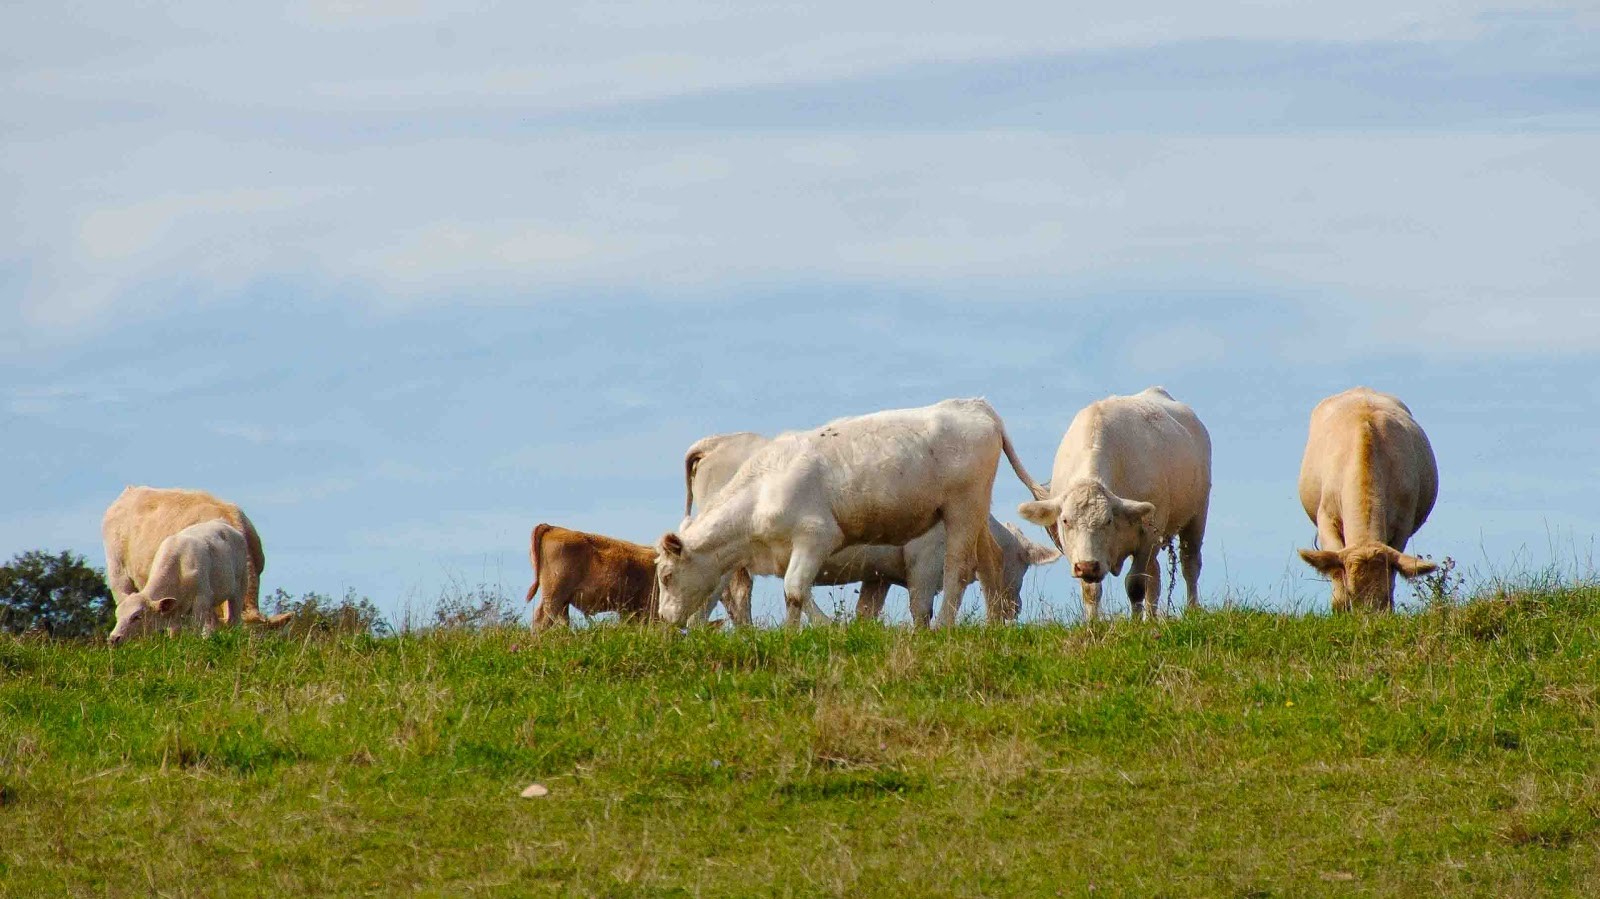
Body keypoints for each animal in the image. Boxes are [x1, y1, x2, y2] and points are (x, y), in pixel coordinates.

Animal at [107, 520, 247, 644]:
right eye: (117, 615)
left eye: (137, 616)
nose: (113, 639)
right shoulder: (174, 611)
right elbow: (174, 634)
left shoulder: (201, 600)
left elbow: (196, 629)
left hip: (240, 587)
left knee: (234, 620)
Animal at [656, 398, 1048, 628]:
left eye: (666, 576)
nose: (663, 617)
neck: (761, 490)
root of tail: (973, 404)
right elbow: (800, 596)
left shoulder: (818, 536)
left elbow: (796, 590)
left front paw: (824, 629)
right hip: (971, 512)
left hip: (963, 507)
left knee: (958, 568)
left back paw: (945, 628)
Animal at [1017, 387, 1211, 621]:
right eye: (1065, 521)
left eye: (1108, 521)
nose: (1087, 566)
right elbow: (1091, 591)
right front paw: (1093, 622)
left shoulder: (1148, 535)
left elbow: (1135, 585)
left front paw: (1136, 623)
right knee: (1155, 575)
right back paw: (1152, 617)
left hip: (1197, 515)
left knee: (1190, 564)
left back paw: (1192, 610)